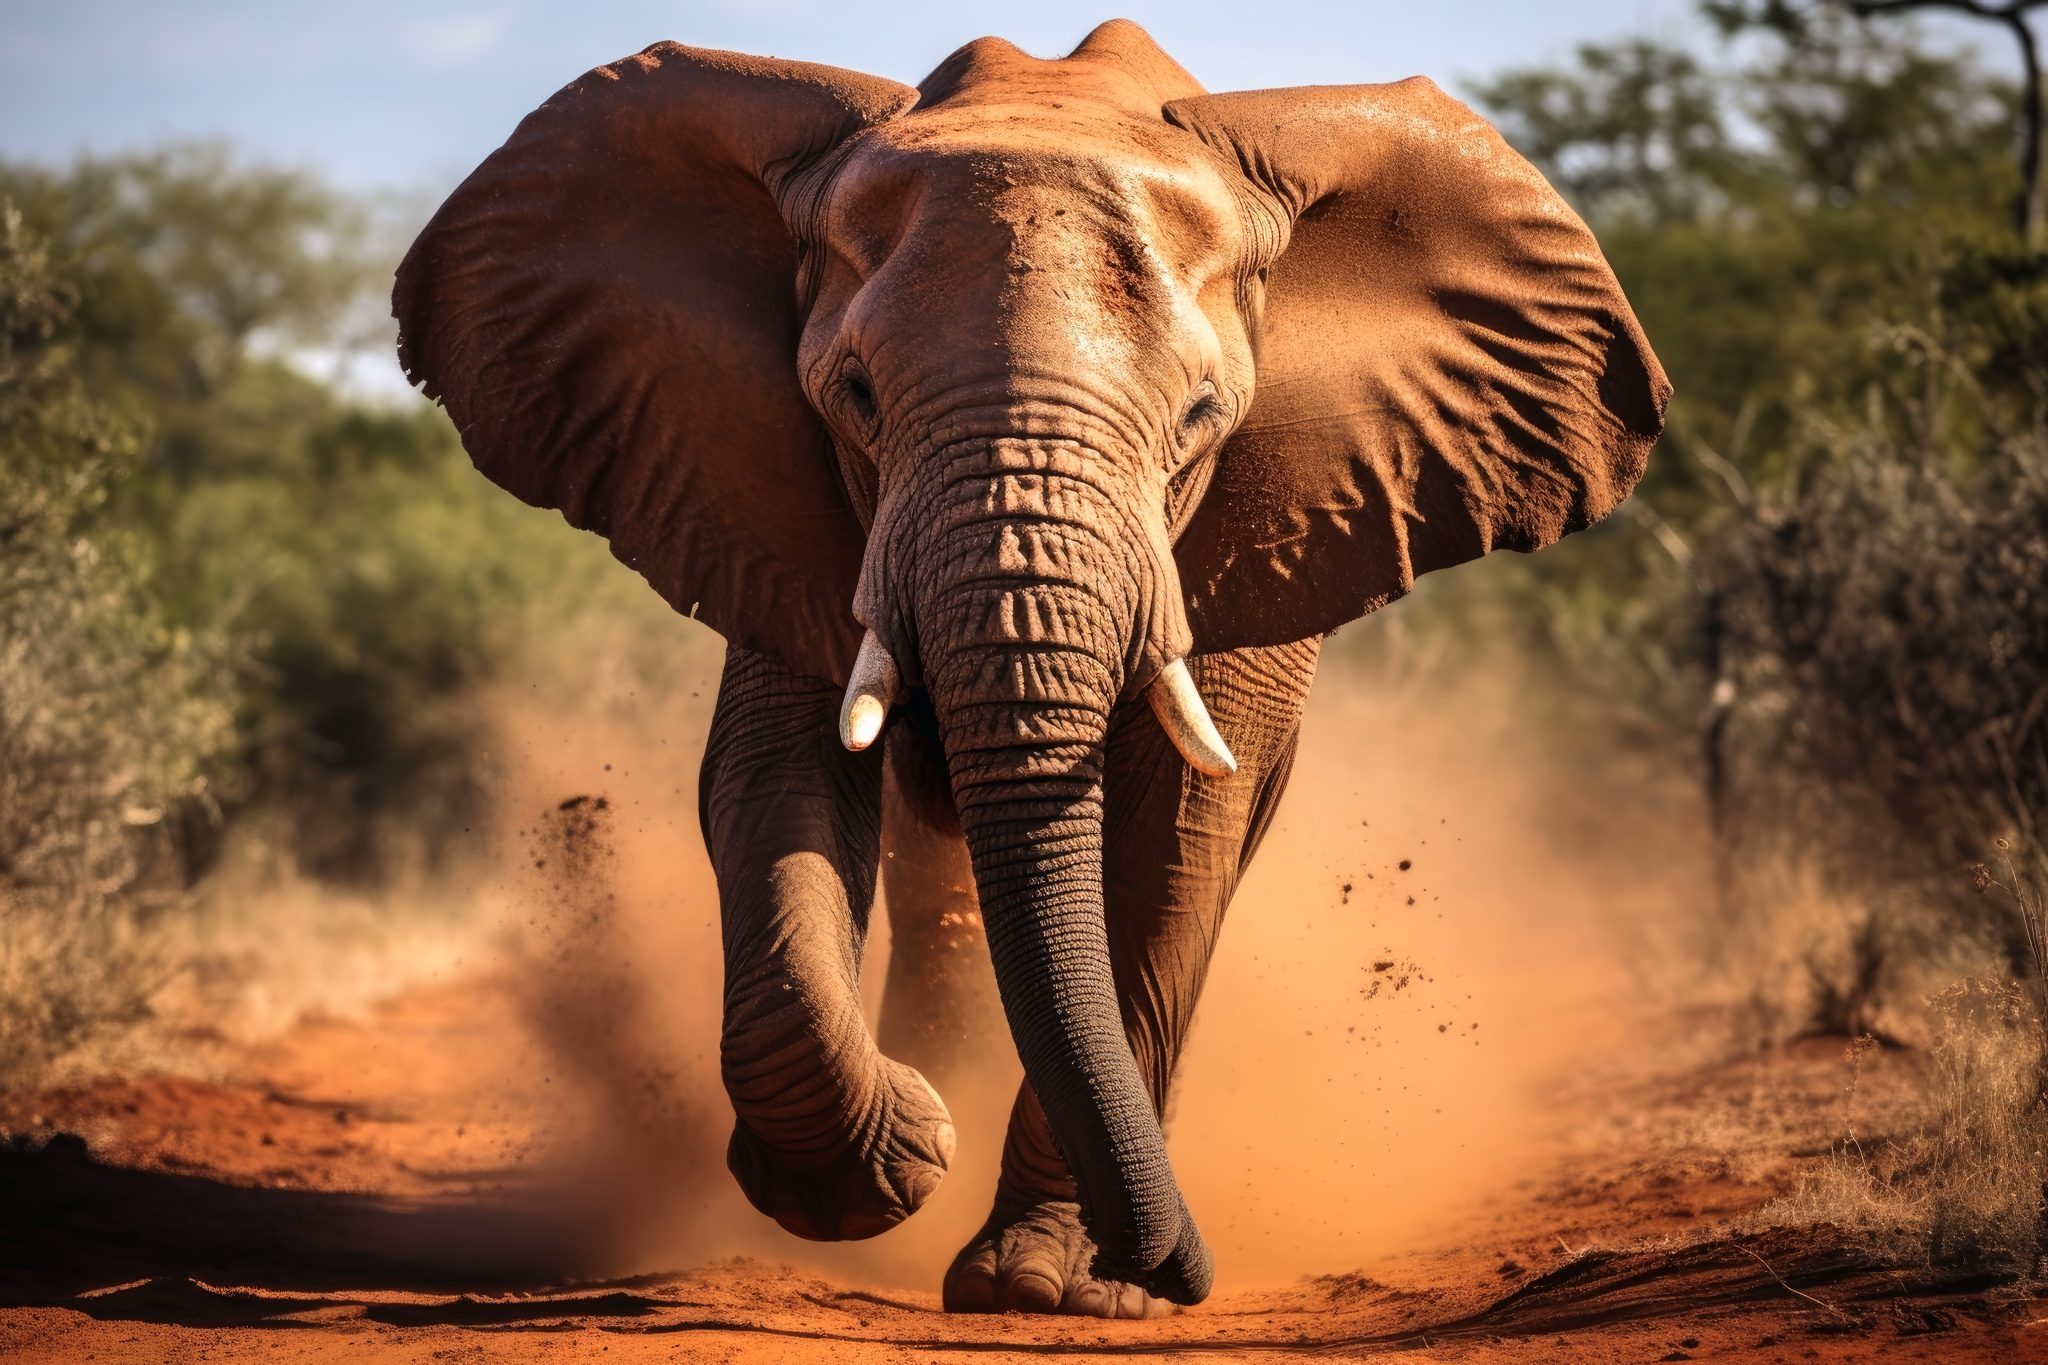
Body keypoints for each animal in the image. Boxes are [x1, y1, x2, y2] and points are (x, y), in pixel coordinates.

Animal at [393, 18, 1668, 1318]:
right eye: (854, 395)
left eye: (1202, 415)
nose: (1182, 1271)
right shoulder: (767, 486)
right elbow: (771, 784)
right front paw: (899, 1157)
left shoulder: (1280, 516)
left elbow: (1176, 838)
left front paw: (1049, 1286)